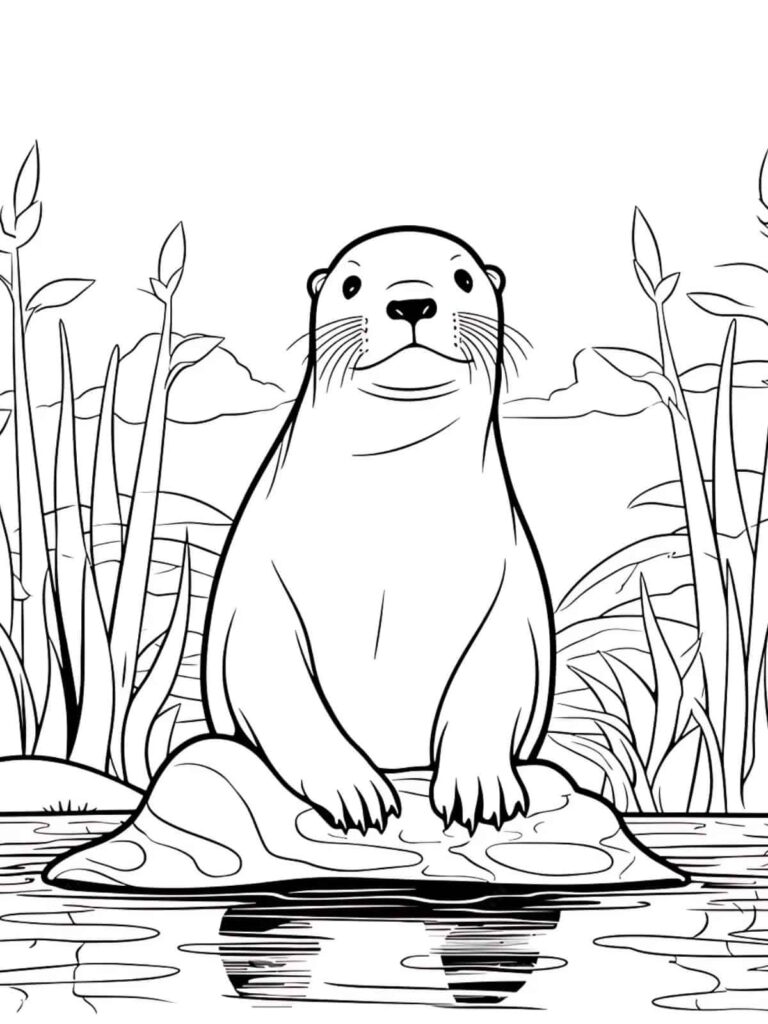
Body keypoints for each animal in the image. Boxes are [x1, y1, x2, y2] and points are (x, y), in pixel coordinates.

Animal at [202, 226, 555, 834]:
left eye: (463, 277)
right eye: (350, 284)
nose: (411, 302)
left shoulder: (508, 589)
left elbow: (493, 680)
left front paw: (479, 788)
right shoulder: (261, 589)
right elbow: (279, 686)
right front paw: (356, 791)